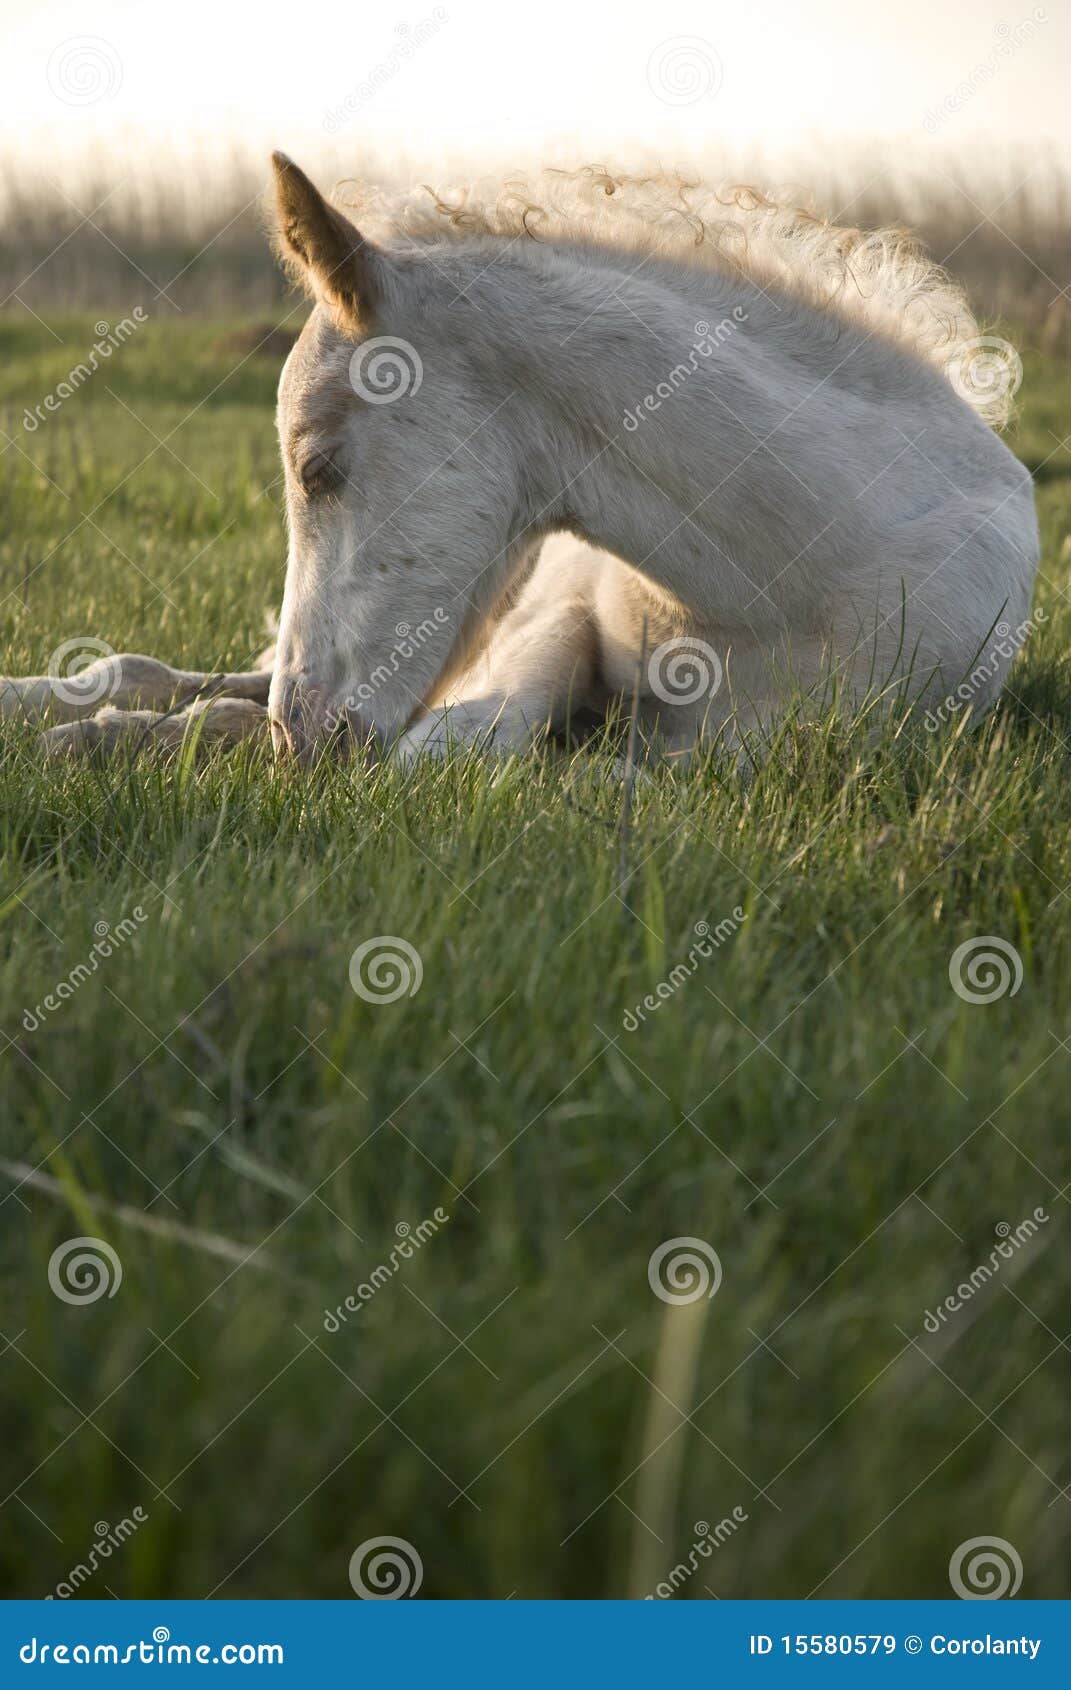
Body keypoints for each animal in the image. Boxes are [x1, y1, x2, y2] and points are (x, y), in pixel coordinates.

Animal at [5, 154, 1039, 767]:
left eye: (318, 468)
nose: (303, 737)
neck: (794, 581)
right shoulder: (547, 621)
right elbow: (467, 739)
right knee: (174, 675)